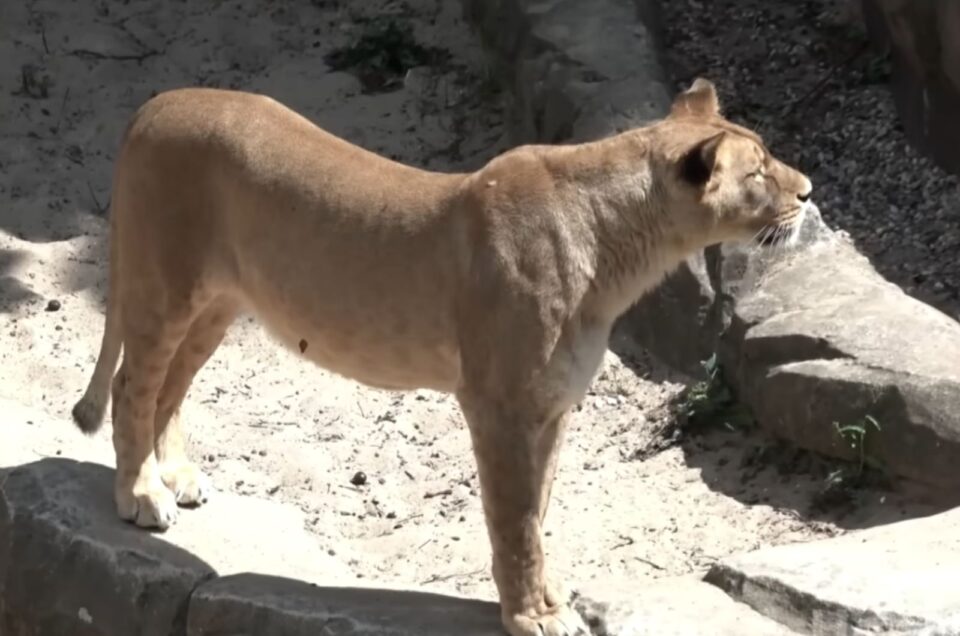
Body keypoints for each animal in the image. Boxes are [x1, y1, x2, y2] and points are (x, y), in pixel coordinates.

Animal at [71, 78, 812, 636]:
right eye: (758, 169)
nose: (807, 192)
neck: (619, 249)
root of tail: (155, 103)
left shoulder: (551, 406)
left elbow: (538, 511)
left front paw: (546, 600)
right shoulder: (499, 404)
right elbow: (514, 518)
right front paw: (533, 616)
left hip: (218, 303)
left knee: (170, 386)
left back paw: (178, 478)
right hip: (164, 285)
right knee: (134, 385)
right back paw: (142, 496)